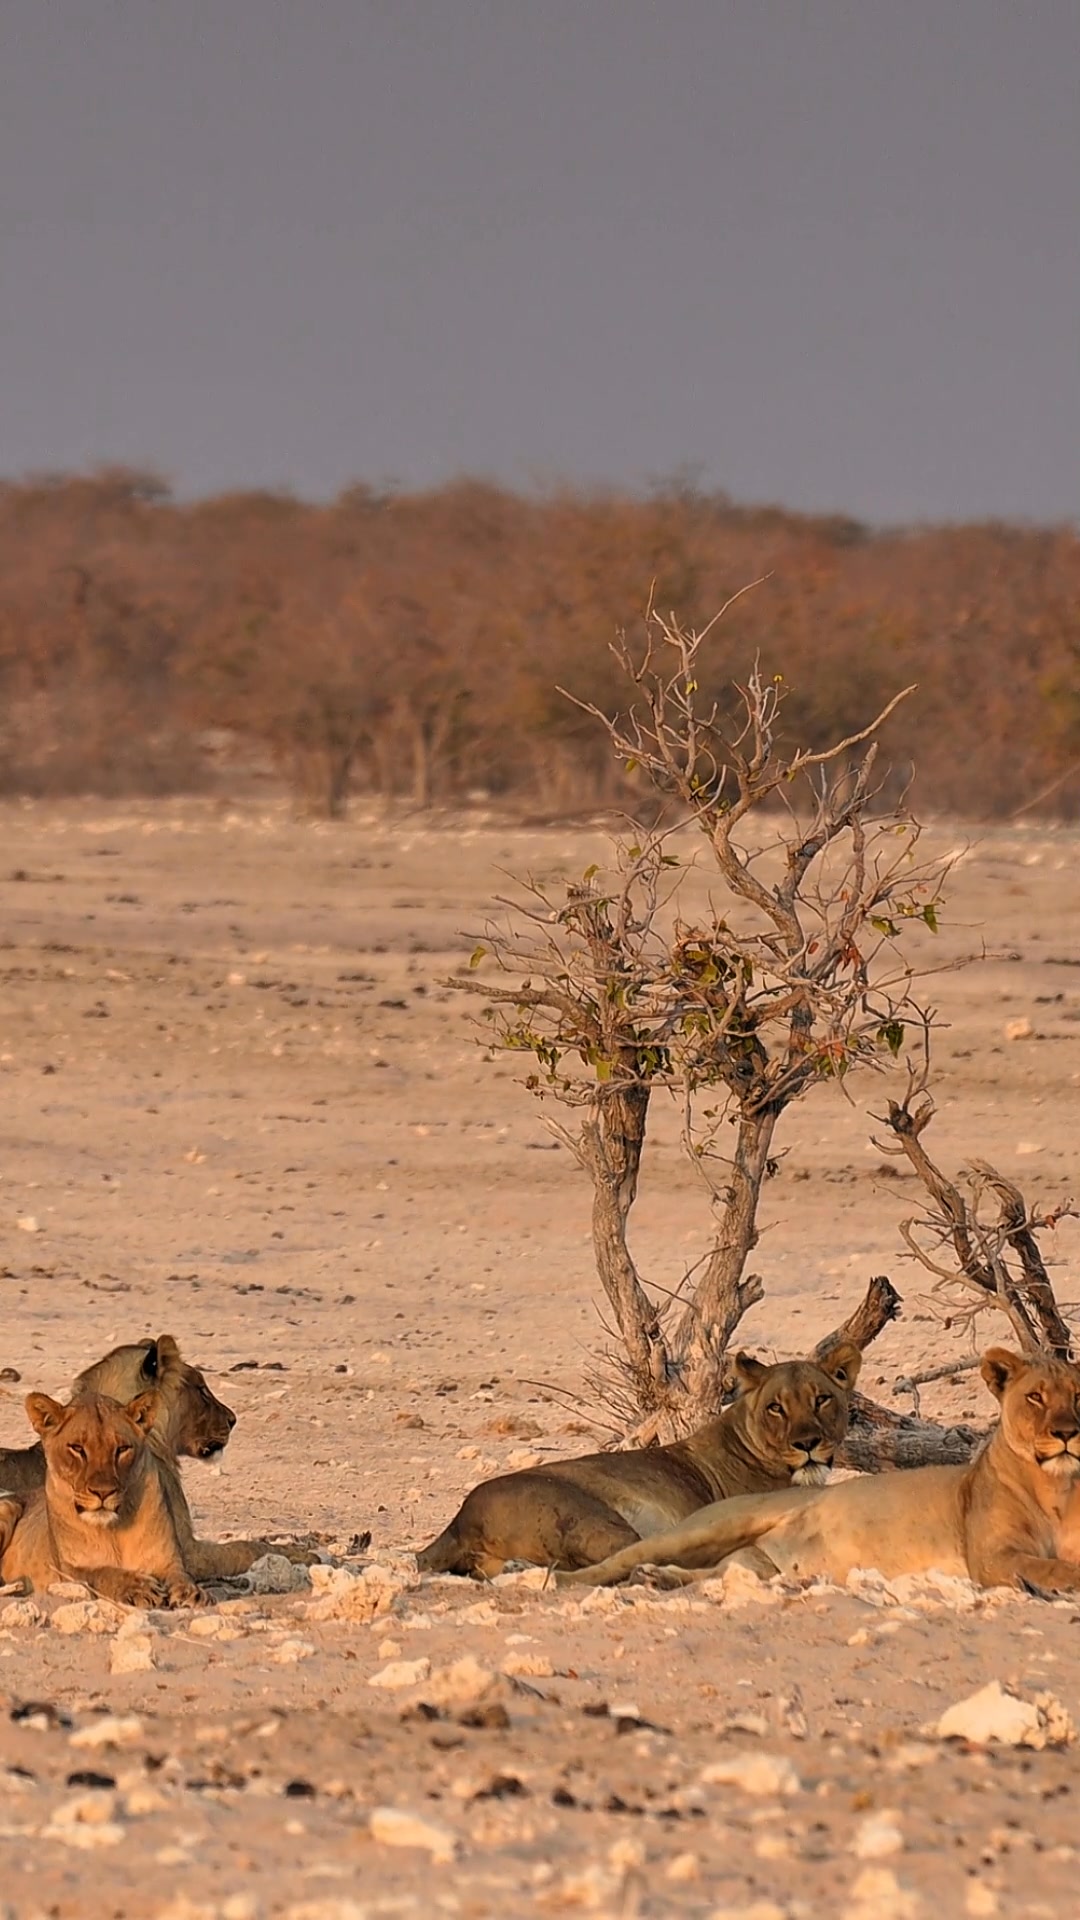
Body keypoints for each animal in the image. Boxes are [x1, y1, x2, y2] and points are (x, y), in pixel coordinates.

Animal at [0, 1391, 202, 1608]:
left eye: (122, 1449)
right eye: (77, 1448)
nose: (103, 1492)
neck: (113, 1532)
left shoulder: (167, 1560)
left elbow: (181, 1575)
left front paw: (192, 1593)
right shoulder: (67, 1570)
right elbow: (100, 1573)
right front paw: (139, 1588)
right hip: (8, 1507)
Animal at [560, 1347, 1080, 1594]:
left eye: (1077, 1394)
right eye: (1035, 1397)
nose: (1067, 1432)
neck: (1055, 1490)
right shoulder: (991, 1557)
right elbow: (1052, 1566)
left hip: (753, 1565)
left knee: (719, 1576)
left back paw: (658, 1580)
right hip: (710, 1526)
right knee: (617, 1561)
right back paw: (564, 1582)